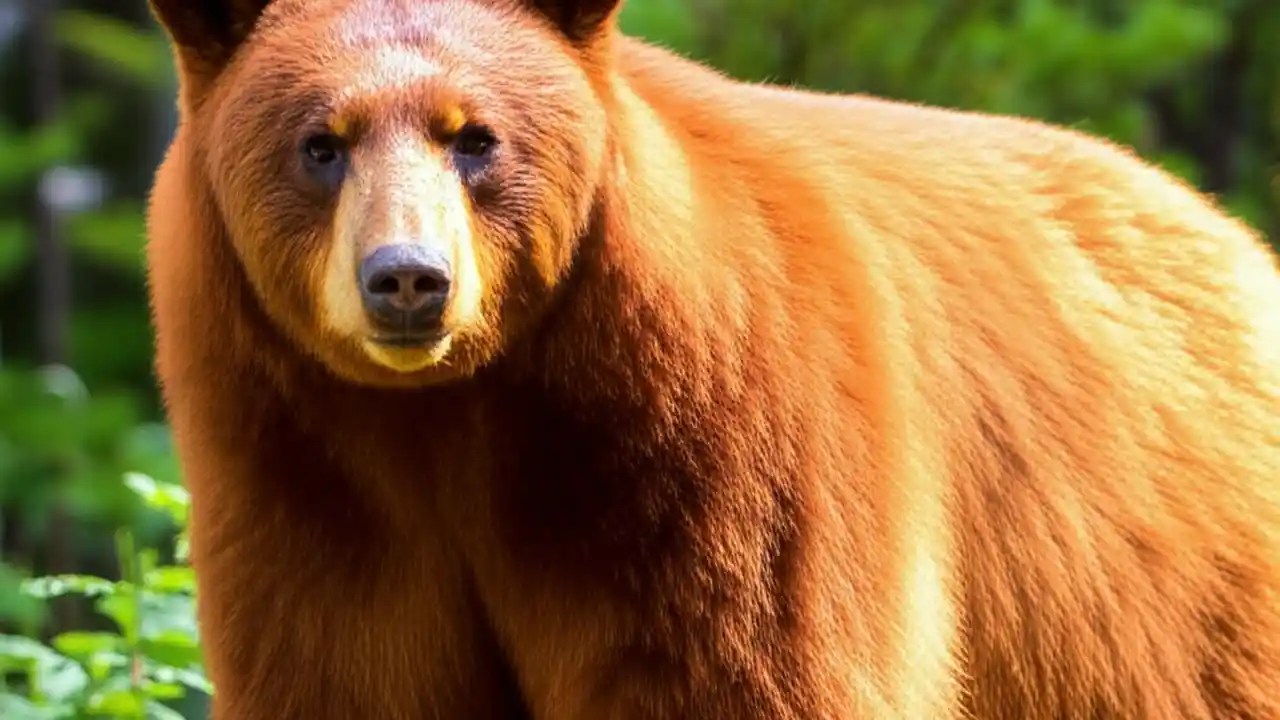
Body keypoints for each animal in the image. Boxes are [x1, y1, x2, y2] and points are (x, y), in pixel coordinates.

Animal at [143, 0, 1280, 718]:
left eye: (476, 138)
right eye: (320, 144)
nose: (409, 278)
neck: (459, 409)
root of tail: (1233, 241)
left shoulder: (724, 444)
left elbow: (743, 668)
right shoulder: (307, 473)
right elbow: (346, 672)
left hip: (1176, 607)